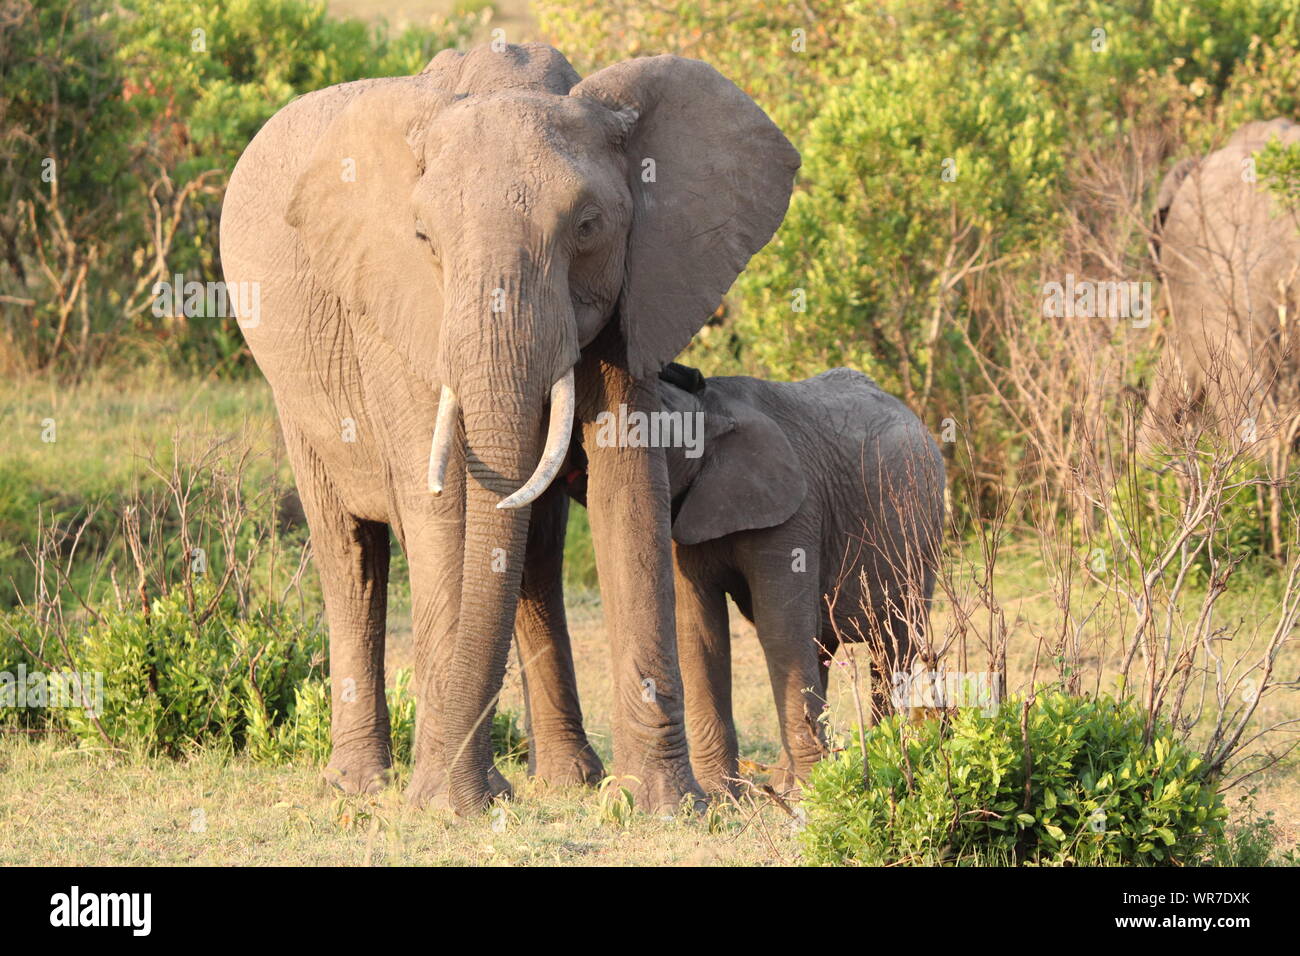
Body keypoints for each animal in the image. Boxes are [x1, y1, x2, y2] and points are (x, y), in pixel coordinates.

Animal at [218, 43, 800, 814]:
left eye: (587, 227)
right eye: (424, 238)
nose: (459, 793)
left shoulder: (638, 285)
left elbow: (627, 492)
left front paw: (663, 806)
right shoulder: (395, 305)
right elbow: (439, 504)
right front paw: (448, 805)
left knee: (537, 549)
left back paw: (566, 778)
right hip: (292, 387)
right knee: (350, 551)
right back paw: (362, 785)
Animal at [560, 365, 946, 795]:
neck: (710, 408)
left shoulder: (796, 510)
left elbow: (781, 630)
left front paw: (808, 793)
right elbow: (700, 634)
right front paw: (722, 794)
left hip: (919, 531)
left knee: (891, 647)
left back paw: (879, 752)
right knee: (823, 649)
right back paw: (784, 778)